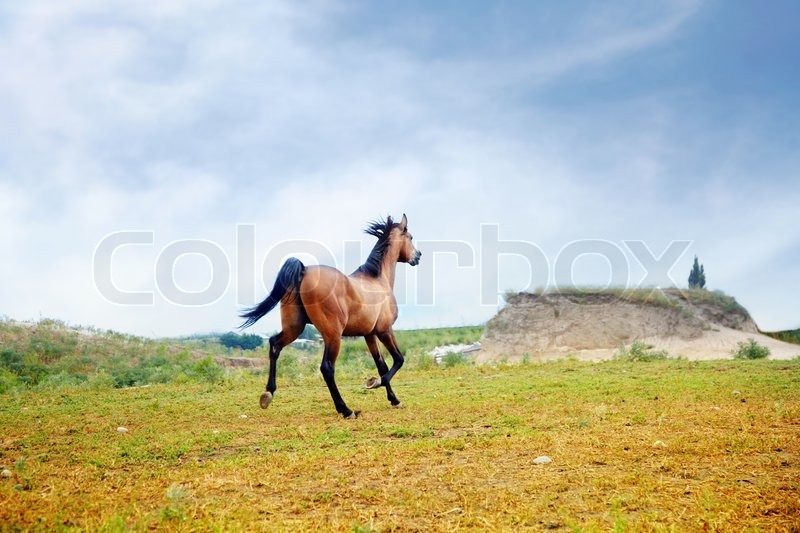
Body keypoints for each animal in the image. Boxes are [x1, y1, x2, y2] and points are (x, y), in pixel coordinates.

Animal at [240, 214, 422, 418]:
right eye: (411, 237)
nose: (418, 256)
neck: (378, 279)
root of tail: (303, 270)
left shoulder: (369, 334)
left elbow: (381, 365)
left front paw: (394, 400)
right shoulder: (385, 330)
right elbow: (398, 359)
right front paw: (375, 383)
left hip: (295, 328)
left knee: (274, 345)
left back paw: (267, 394)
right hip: (333, 335)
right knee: (327, 368)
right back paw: (346, 410)